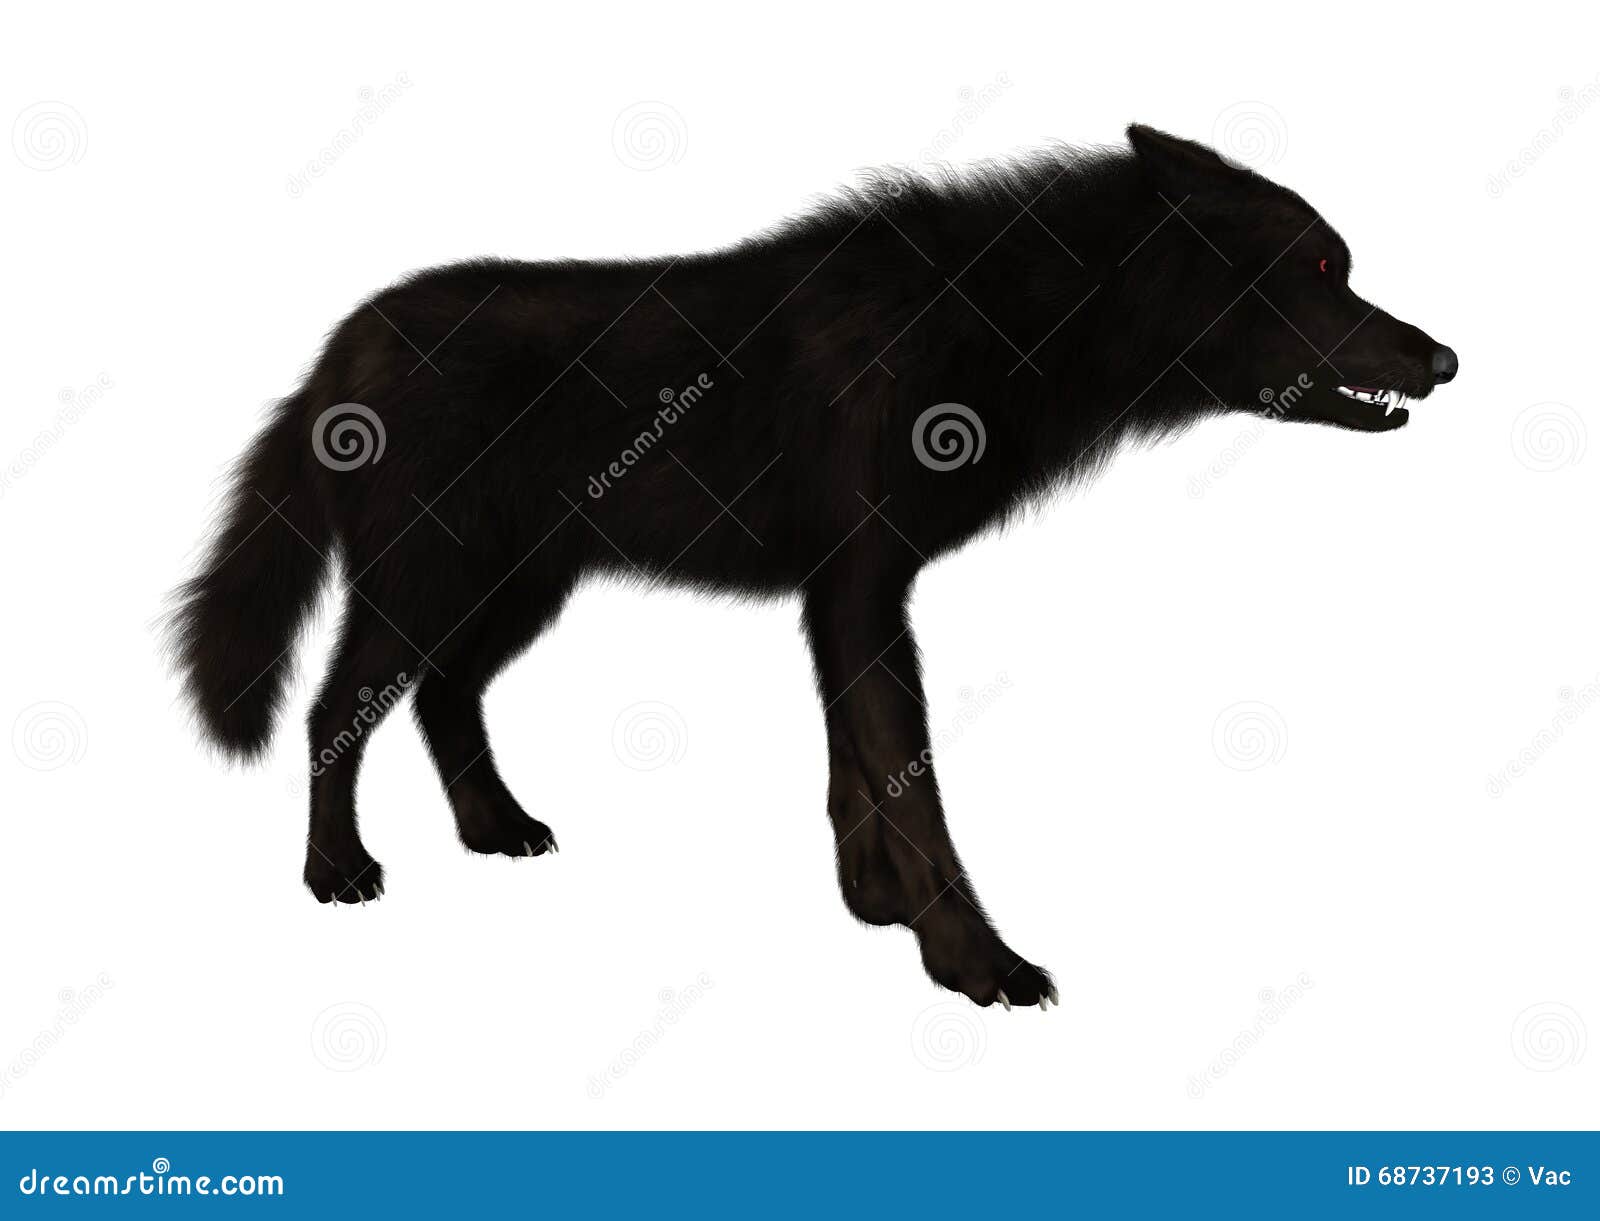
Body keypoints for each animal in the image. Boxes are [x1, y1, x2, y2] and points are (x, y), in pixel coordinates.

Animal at [169, 125, 1457, 1008]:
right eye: (1325, 272)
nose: (1443, 357)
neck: (990, 324)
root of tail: (343, 342)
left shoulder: (844, 597)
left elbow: (855, 774)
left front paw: (874, 909)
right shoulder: (861, 587)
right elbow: (909, 784)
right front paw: (975, 962)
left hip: (512, 592)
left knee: (444, 696)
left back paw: (498, 830)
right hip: (427, 587)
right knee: (335, 708)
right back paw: (337, 872)